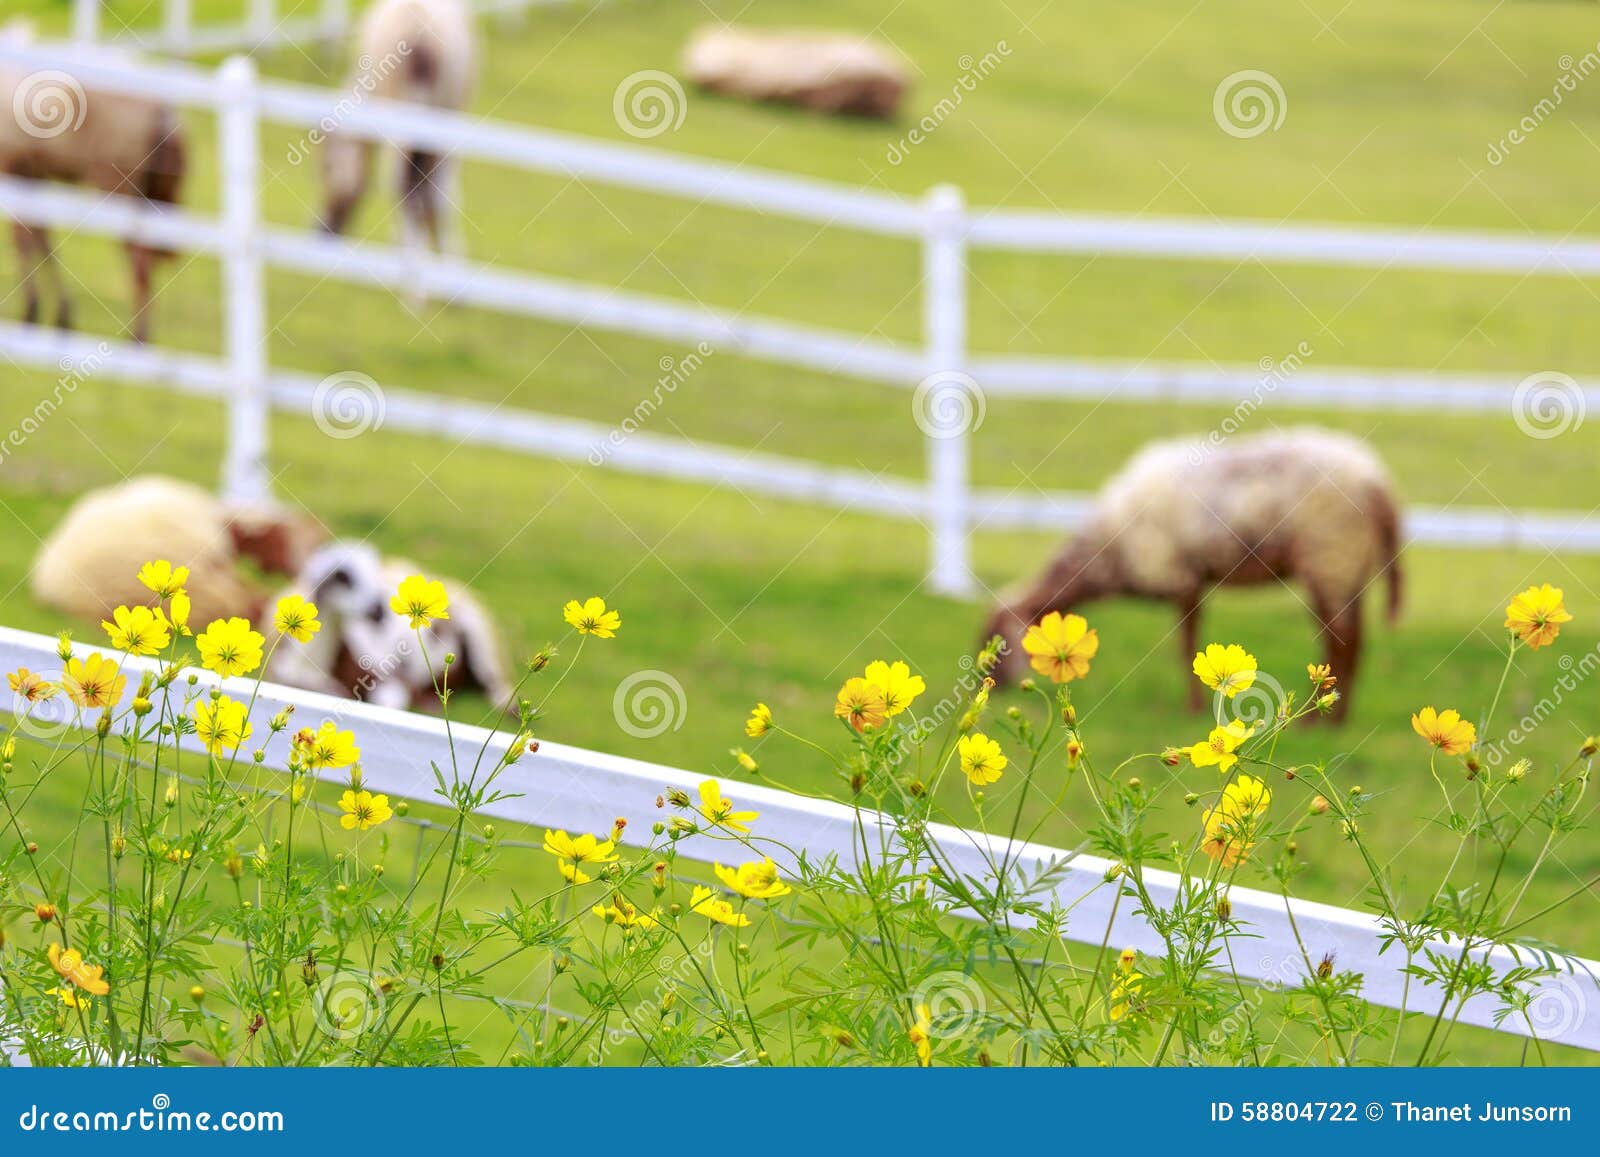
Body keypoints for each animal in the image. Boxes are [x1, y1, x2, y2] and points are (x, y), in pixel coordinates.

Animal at [0, 22, 187, 342]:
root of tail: (161, 108)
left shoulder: (13, 169)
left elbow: (25, 237)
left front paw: (33, 311)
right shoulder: (32, 174)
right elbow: (42, 237)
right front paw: (60, 313)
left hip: (119, 190)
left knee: (140, 260)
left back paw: (138, 336)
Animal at [262, 541, 512, 712]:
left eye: (374, 571)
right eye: (343, 578)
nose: (378, 609)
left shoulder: (387, 674)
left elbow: (392, 701)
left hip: (479, 634)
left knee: (493, 682)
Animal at [980, 428, 1403, 721]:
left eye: (998, 644)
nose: (992, 692)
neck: (1108, 553)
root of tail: (1376, 482)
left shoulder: (1180, 578)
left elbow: (1187, 648)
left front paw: (1194, 709)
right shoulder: (1192, 581)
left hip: (1333, 558)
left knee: (1342, 641)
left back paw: (1319, 723)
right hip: (1347, 566)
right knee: (1351, 640)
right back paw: (1334, 719)